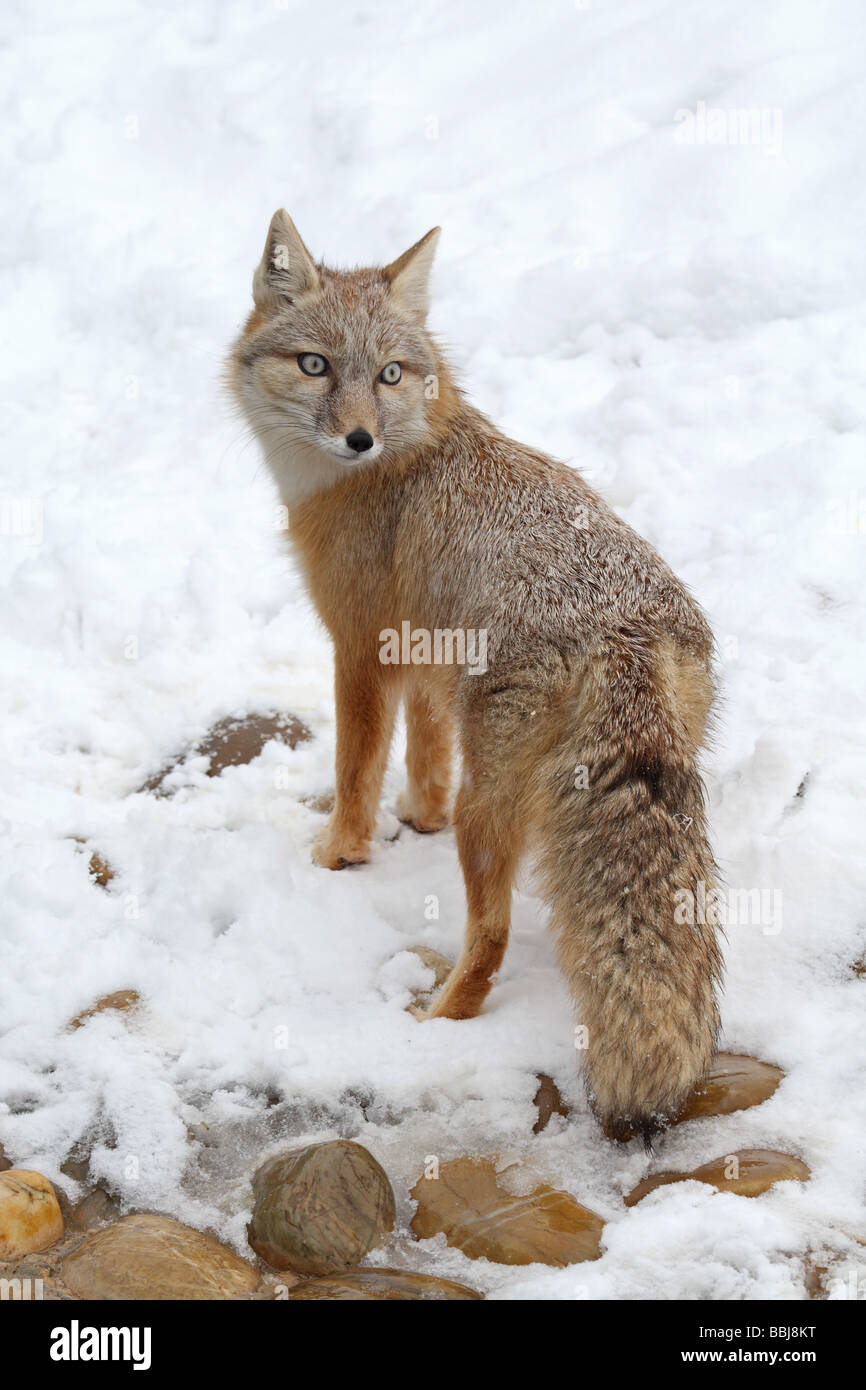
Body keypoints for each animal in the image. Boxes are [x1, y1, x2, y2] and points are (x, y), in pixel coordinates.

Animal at [230, 210, 723, 1142]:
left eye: (388, 374)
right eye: (317, 365)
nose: (359, 437)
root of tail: (627, 626)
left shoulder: (360, 649)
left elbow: (355, 766)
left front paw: (340, 852)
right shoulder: (427, 661)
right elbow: (423, 751)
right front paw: (413, 816)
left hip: (487, 813)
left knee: (490, 934)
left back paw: (439, 1019)